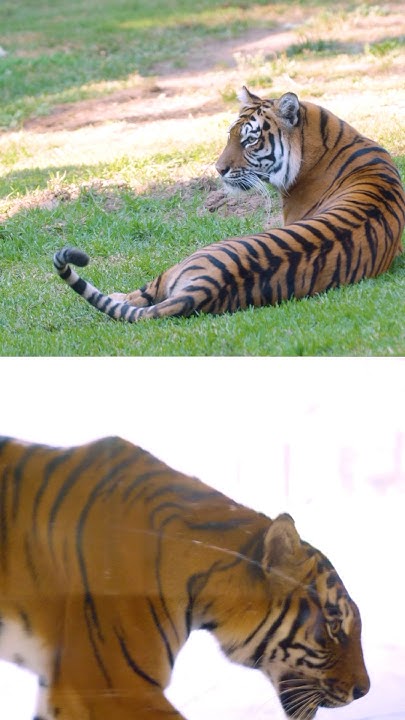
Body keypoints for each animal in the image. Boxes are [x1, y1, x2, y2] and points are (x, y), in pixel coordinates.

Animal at [53, 86, 405, 322]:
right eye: (231, 135)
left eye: (250, 140)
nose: (218, 169)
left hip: (179, 264)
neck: (323, 140)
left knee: (139, 295)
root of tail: (205, 286)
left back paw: (117, 295)